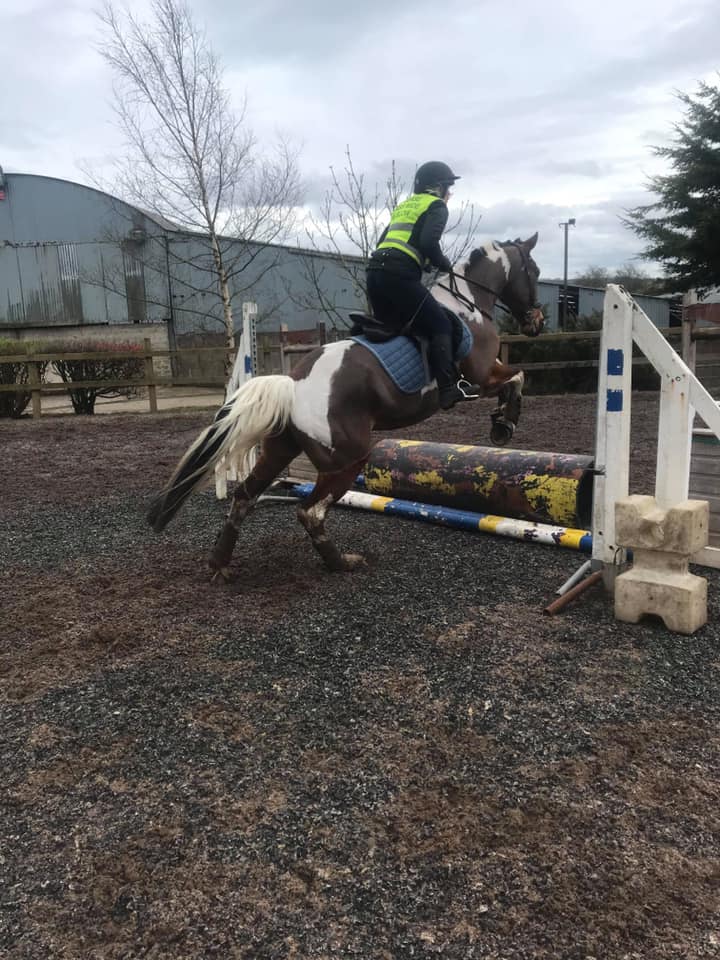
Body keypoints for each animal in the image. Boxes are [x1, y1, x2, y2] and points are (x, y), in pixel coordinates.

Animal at [147, 233, 545, 577]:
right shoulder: (482, 375)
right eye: (536, 271)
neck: (468, 305)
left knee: (245, 496)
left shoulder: (487, 372)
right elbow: (518, 376)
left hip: (280, 450)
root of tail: (293, 385)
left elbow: (516, 376)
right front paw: (504, 423)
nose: (536, 323)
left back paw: (220, 564)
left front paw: (502, 420)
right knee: (311, 512)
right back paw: (341, 563)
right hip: (347, 460)